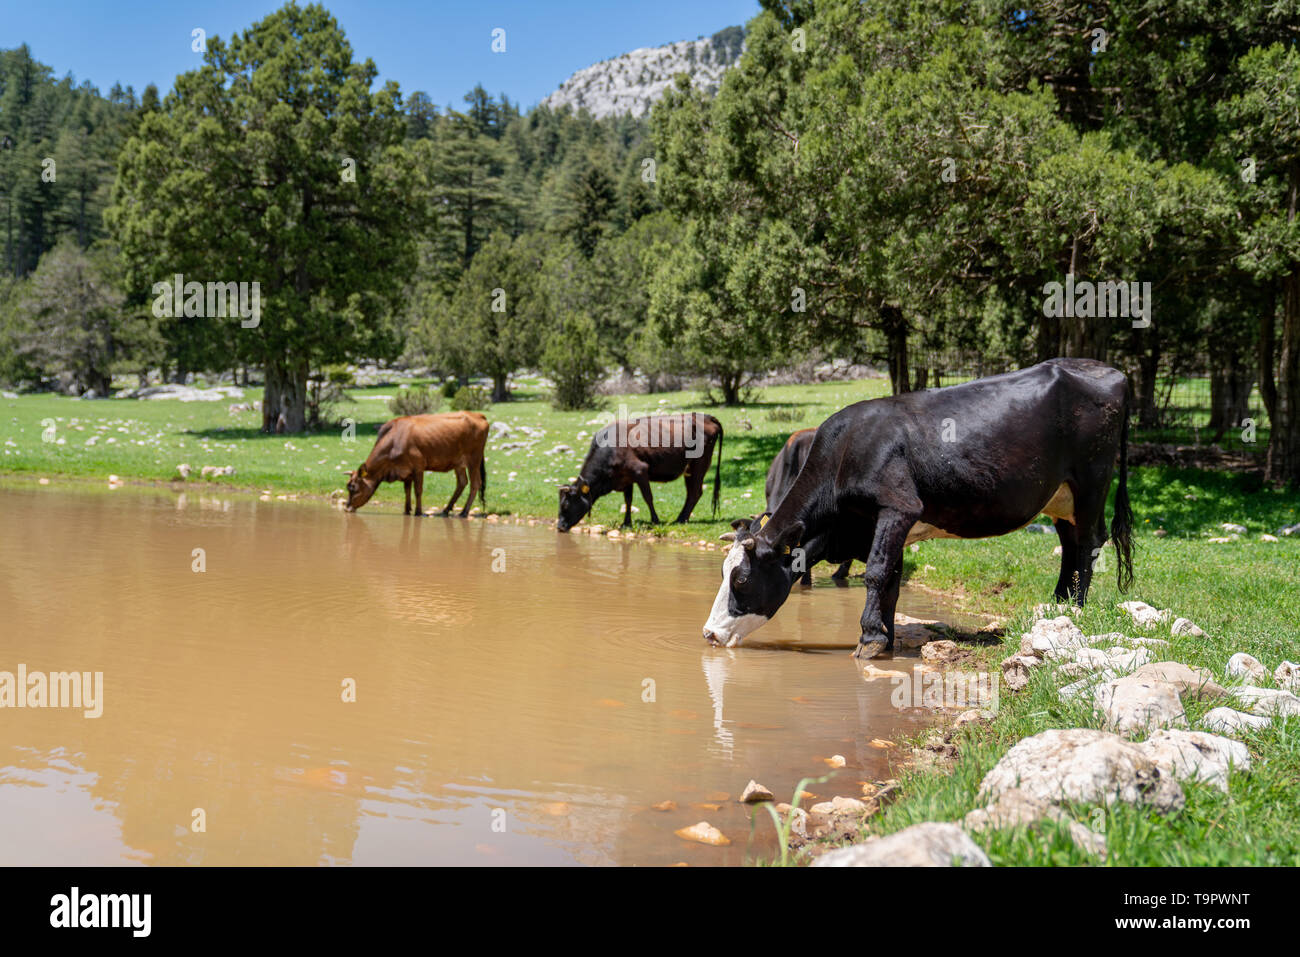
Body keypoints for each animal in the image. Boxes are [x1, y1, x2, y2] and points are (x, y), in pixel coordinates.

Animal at [345, 412, 489, 517]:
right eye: (348, 487)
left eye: (353, 487)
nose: (347, 508)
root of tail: (478, 414)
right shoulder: (405, 470)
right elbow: (407, 490)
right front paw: (406, 510)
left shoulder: (418, 466)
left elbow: (418, 490)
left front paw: (418, 512)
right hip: (459, 463)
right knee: (462, 482)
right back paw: (446, 510)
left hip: (474, 459)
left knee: (476, 483)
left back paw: (464, 512)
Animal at [556, 413, 723, 532]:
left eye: (565, 505)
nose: (560, 527)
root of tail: (706, 416)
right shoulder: (625, 478)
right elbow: (628, 500)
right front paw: (626, 523)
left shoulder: (640, 470)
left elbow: (647, 497)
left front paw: (655, 520)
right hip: (689, 469)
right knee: (691, 492)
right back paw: (682, 518)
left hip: (700, 463)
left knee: (695, 492)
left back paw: (681, 519)